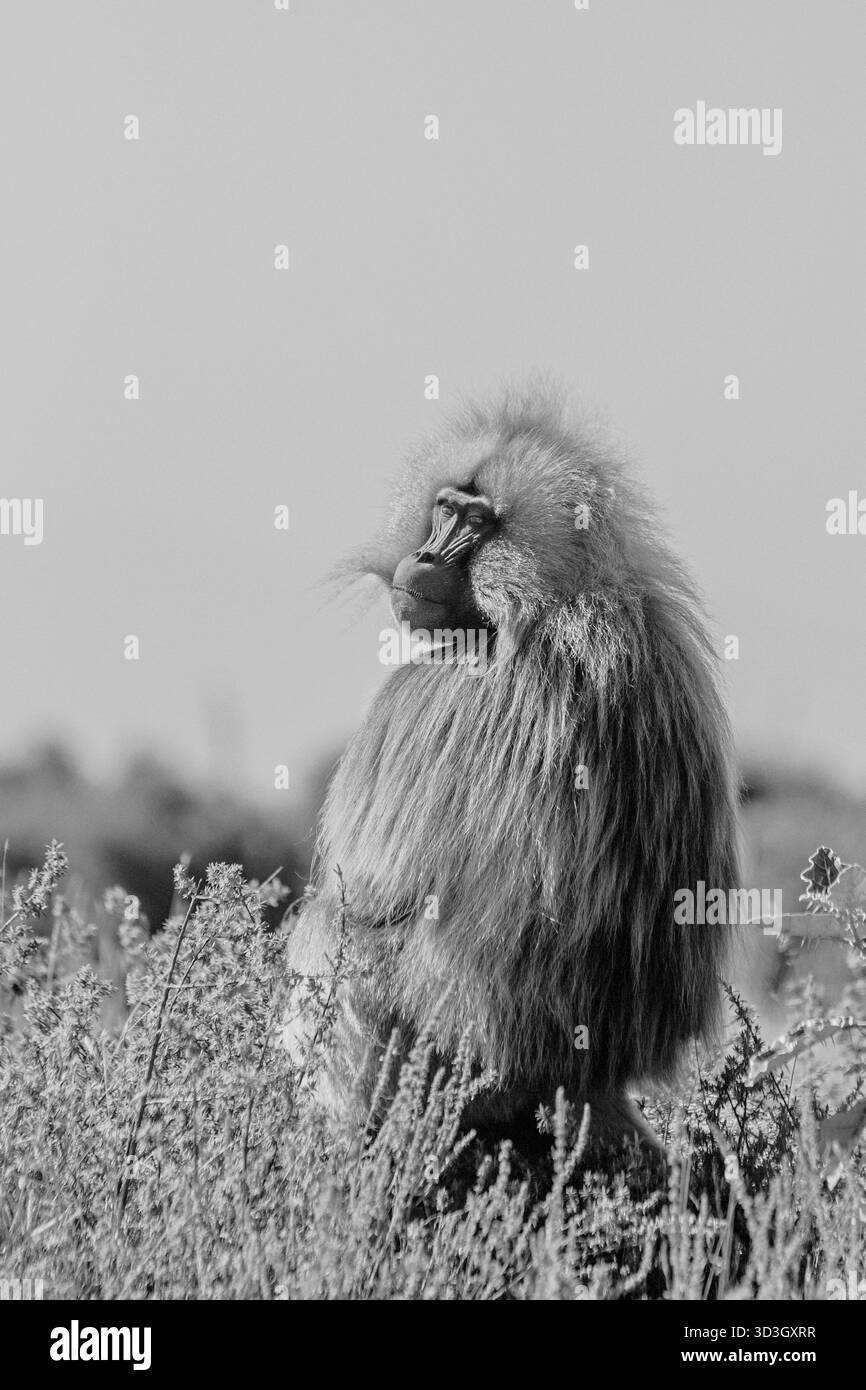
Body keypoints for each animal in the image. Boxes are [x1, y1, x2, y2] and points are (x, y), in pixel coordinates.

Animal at [286, 383, 740, 1152]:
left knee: (327, 928)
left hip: (446, 1048)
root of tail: (586, 1077)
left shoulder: (427, 688)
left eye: (477, 523)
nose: (424, 555)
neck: (558, 597)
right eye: (445, 508)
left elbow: (369, 895)